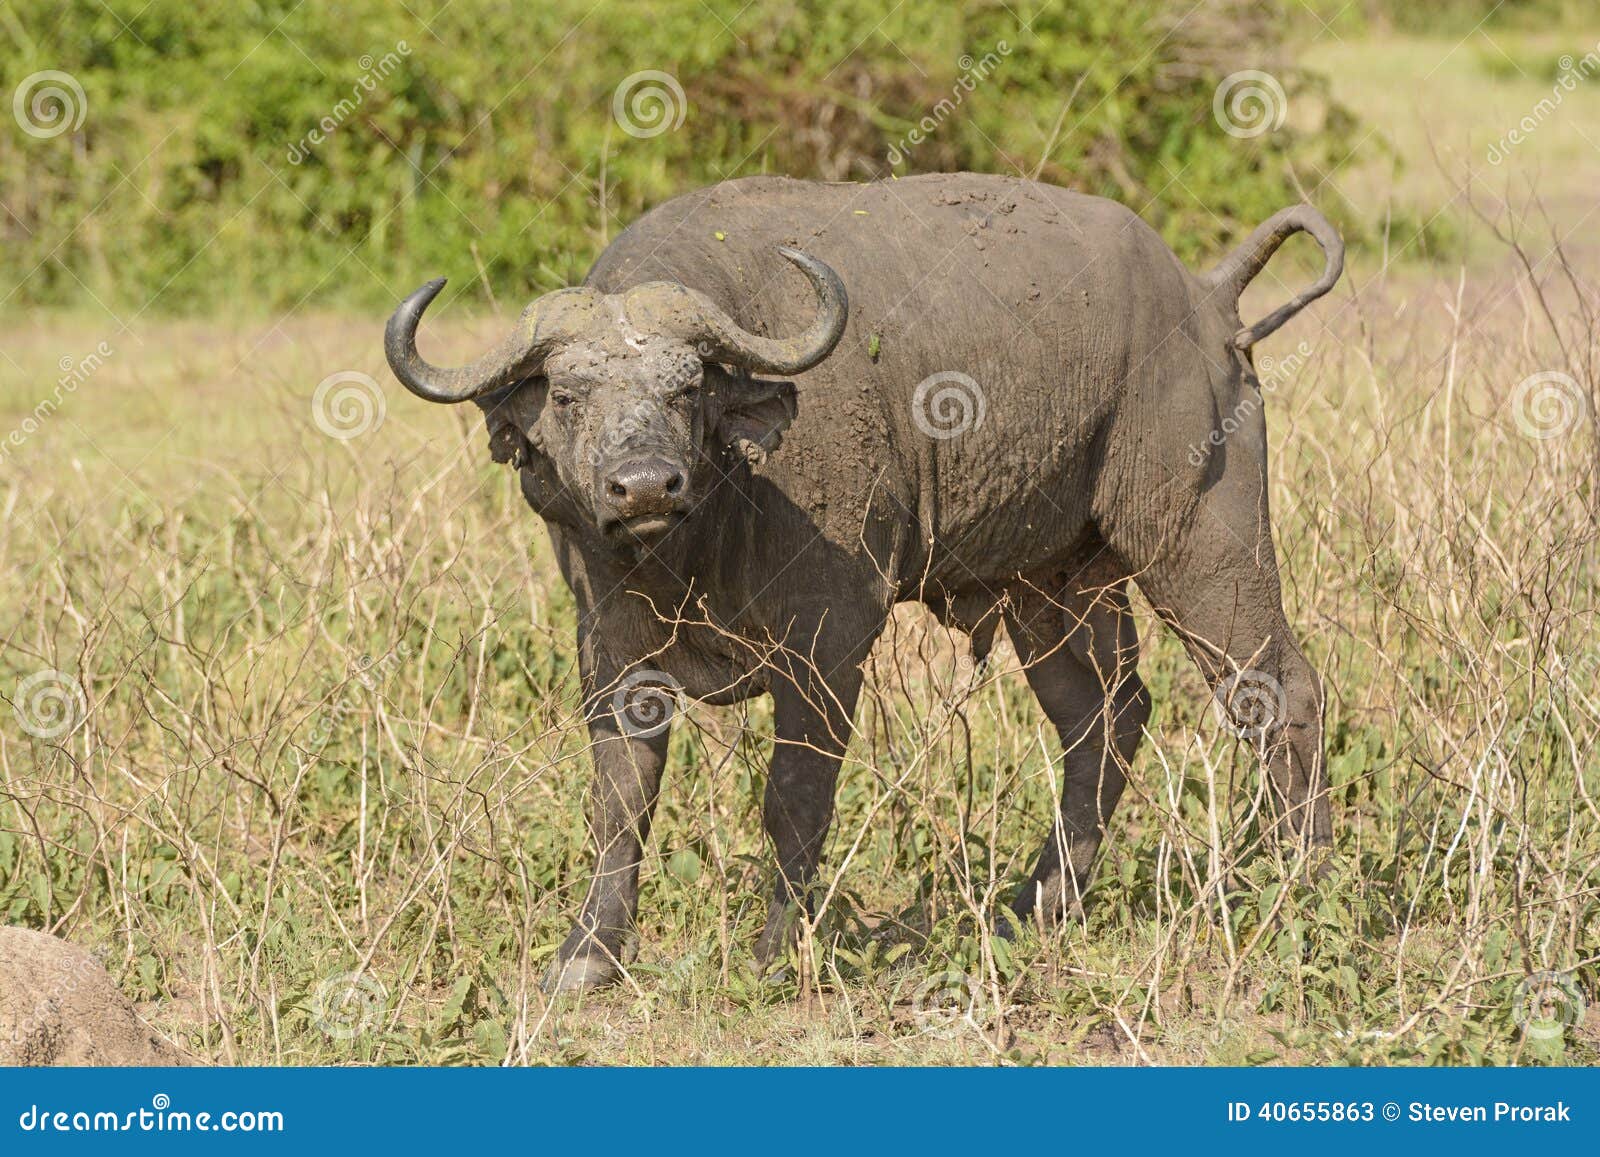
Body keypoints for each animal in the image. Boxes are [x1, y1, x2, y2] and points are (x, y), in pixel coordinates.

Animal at [385, 172, 1343, 991]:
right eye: (568, 395)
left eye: (687, 388)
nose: (647, 484)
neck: (700, 534)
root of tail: (1206, 298)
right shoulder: (611, 647)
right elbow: (620, 798)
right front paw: (586, 954)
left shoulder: (828, 640)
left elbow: (794, 797)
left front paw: (776, 952)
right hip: (1053, 583)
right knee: (1106, 713)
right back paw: (1037, 906)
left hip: (1197, 536)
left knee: (1276, 687)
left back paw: (1305, 882)